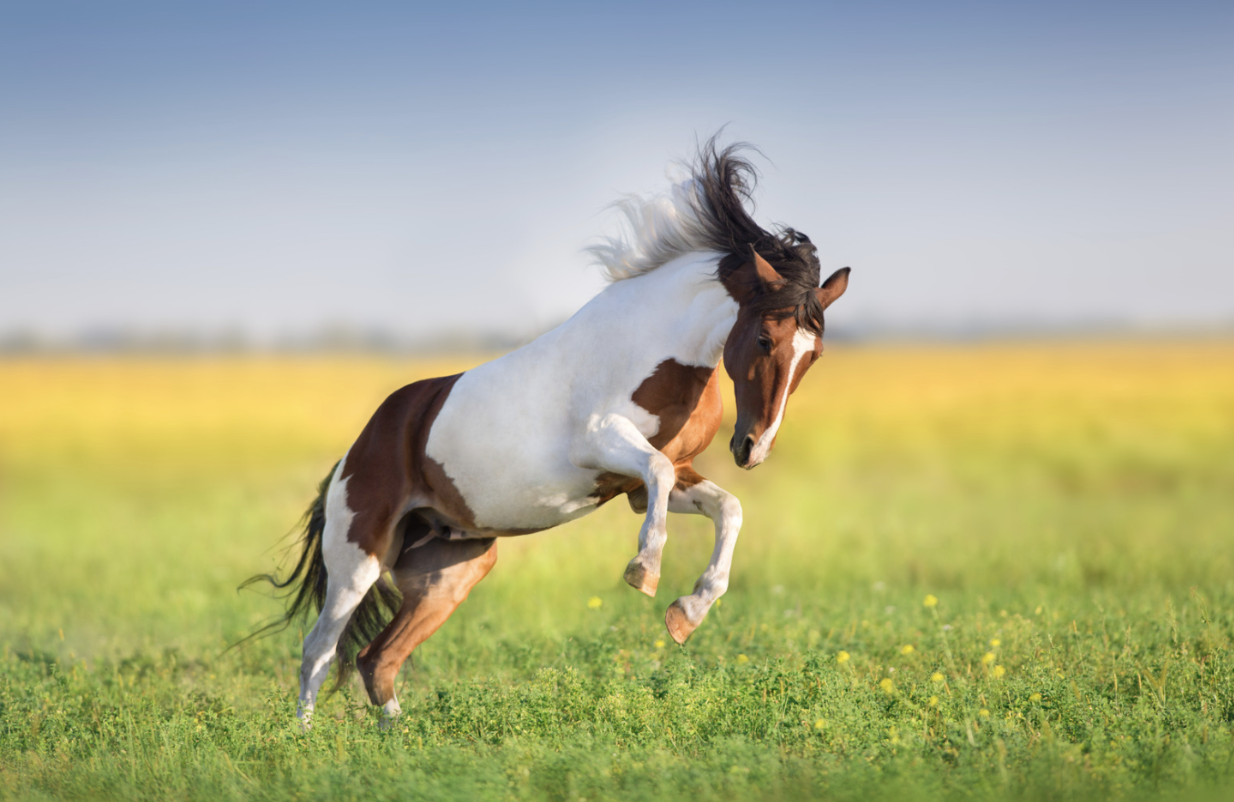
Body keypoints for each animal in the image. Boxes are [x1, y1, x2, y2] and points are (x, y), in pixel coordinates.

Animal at [247, 140, 850, 727]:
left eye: (815, 355)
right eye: (766, 339)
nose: (753, 449)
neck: (657, 344)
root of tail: (359, 449)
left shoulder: (652, 483)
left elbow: (729, 509)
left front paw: (686, 614)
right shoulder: (604, 444)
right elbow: (660, 478)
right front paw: (644, 572)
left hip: (452, 569)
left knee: (377, 660)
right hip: (358, 559)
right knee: (319, 650)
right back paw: (304, 741)